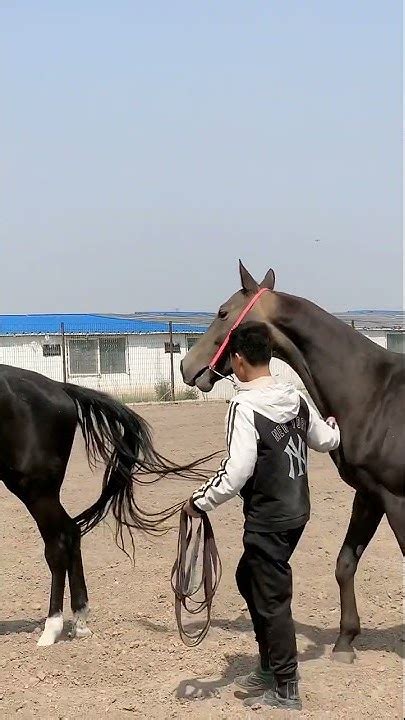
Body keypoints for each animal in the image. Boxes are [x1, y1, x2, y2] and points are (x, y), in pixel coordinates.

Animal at [0, 365, 213, 647]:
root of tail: (58, 387)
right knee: (71, 533)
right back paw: (79, 622)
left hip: (36, 491)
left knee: (57, 545)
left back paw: (52, 628)